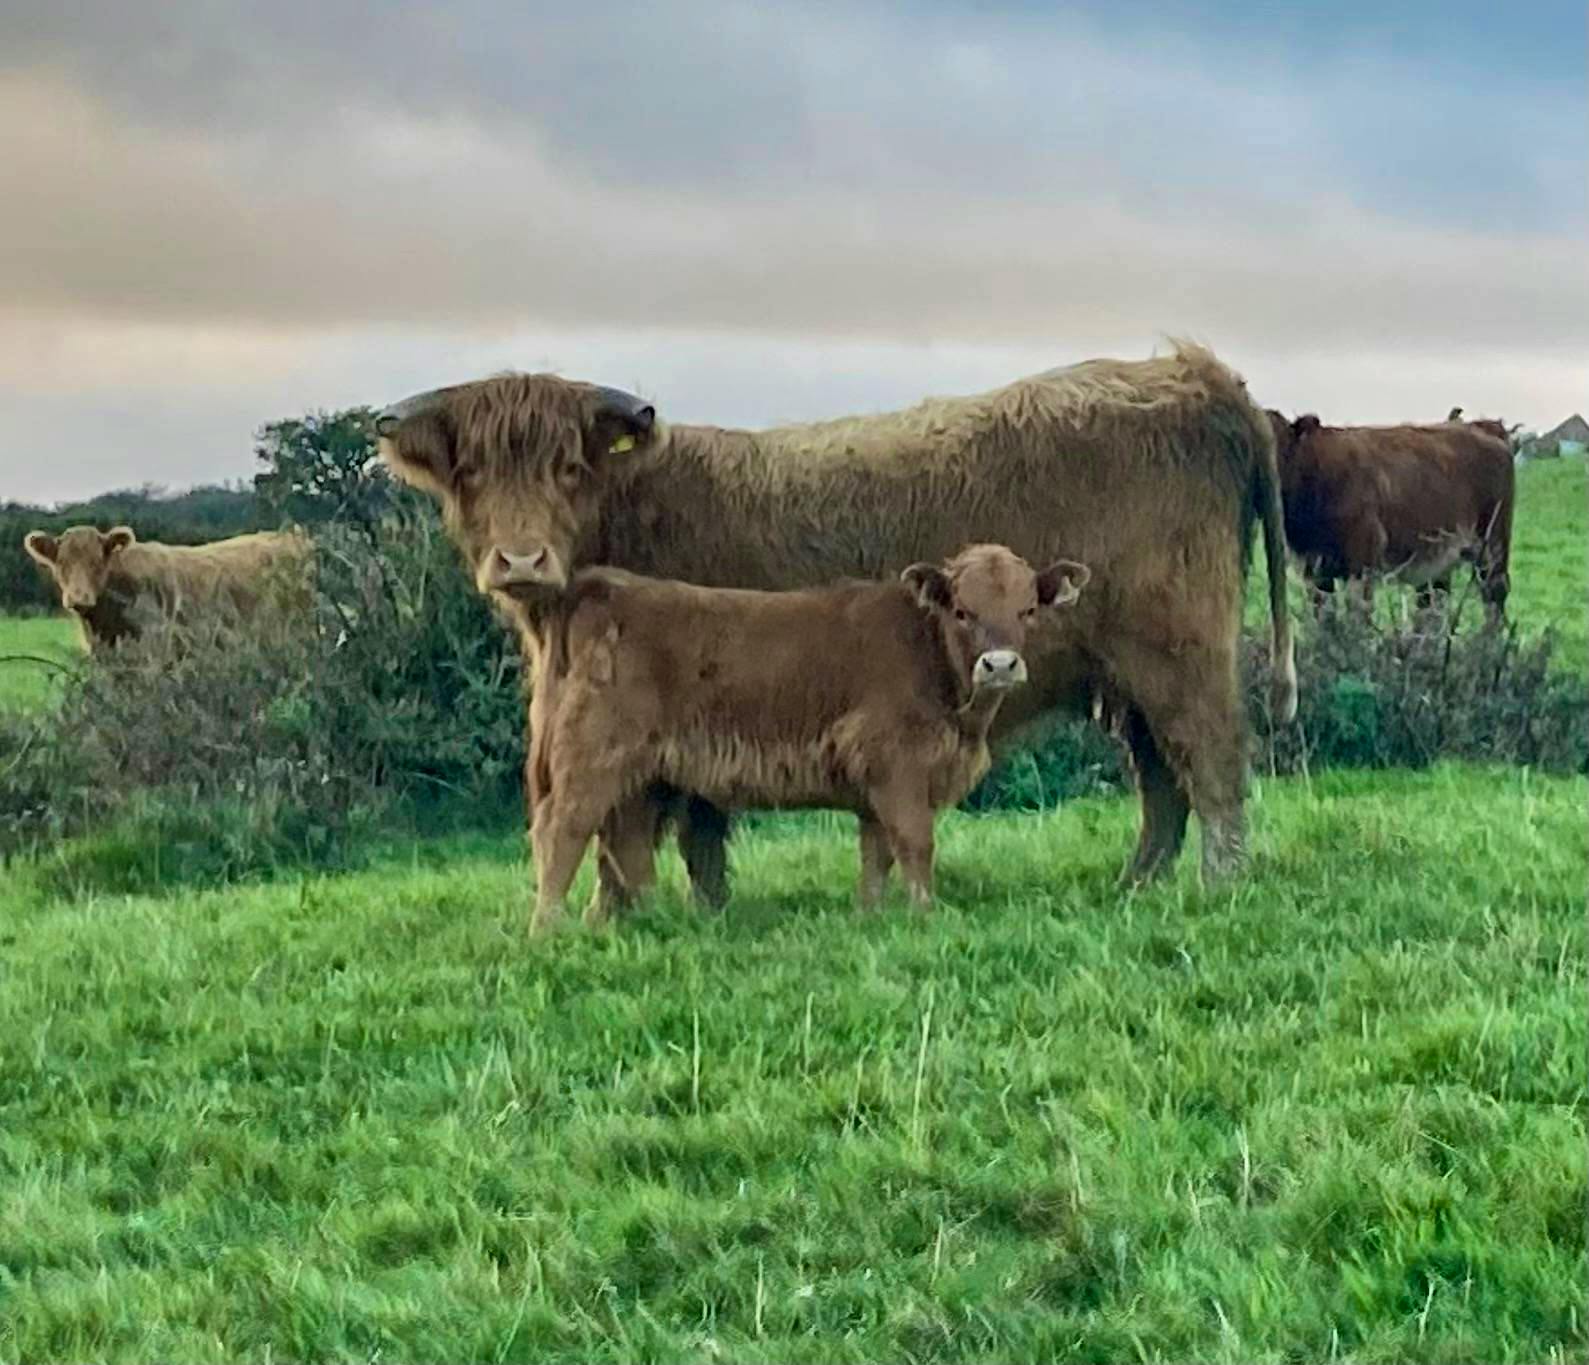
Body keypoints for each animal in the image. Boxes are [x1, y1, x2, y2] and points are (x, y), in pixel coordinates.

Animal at [499, 543, 1089, 930]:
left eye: (1027, 610)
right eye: (963, 611)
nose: (1000, 665)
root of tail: (601, 585)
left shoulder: (874, 783)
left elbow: (877, 852)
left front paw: (870, 914)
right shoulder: (896, 764)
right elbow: (915, 843)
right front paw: (926, 914)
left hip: (642, 773)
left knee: (628, 840)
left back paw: (659, 920)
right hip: (594, 755)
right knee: (564, 829)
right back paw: (547, 928)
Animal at [1267, 412, 1514, 616]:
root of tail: (1482, 428)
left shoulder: (1362, 561)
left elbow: (1358, 615)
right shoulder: (1314, 570)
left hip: (1493, 549)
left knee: (1494, 596)